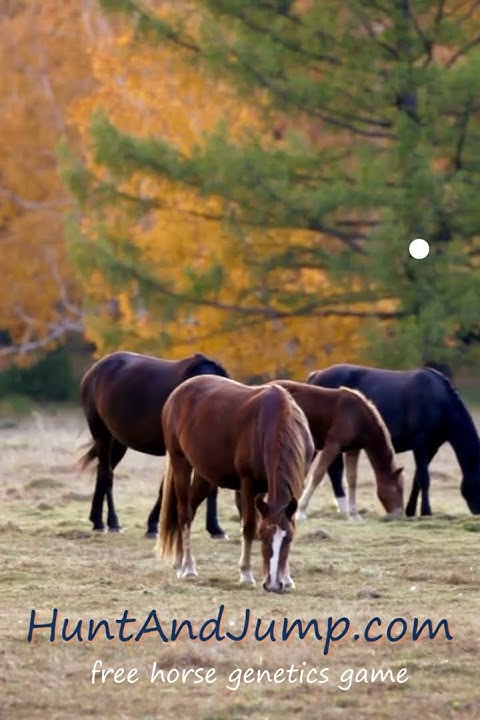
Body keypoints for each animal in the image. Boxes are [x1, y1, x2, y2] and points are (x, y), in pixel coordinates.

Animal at [78, 350, 230, 536]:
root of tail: (95, 370)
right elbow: (167, 487)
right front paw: (153, 525)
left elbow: (210, 489)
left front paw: (215, 528)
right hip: (101, 434)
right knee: (107, 474)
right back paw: (112, 523)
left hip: (118, 441)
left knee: (102, 471)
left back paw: (97, 520)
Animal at [157, 375, 315, 592]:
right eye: (262, 535)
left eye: (288, 538)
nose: (274, 585)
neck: (273, 422)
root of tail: (178, 392)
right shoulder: (248, 484)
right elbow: (248, 526)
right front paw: (246, 573)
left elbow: (288, 520)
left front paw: (287, 577)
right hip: (180, 462)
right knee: (184, 514)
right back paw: (188, 566)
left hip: (205, 475)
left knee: (190, 507)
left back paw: (180, 561)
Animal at [270, 380, 404, 520]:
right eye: (398, 489)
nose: (399, 515)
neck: (357, 417)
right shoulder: (333, 446)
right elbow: (318, 474)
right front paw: (301, 511)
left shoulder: (353, 450)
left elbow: (352, 479)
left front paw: (354, 515)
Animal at [307, 364, 480, 517]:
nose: (477, 511)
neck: (438, 400)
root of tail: (316, 375)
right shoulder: (420, 443)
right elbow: (424, 478)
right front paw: (426, 511)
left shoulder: (432, 447)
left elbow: (417, 478)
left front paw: (411, 510)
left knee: (334, 471)